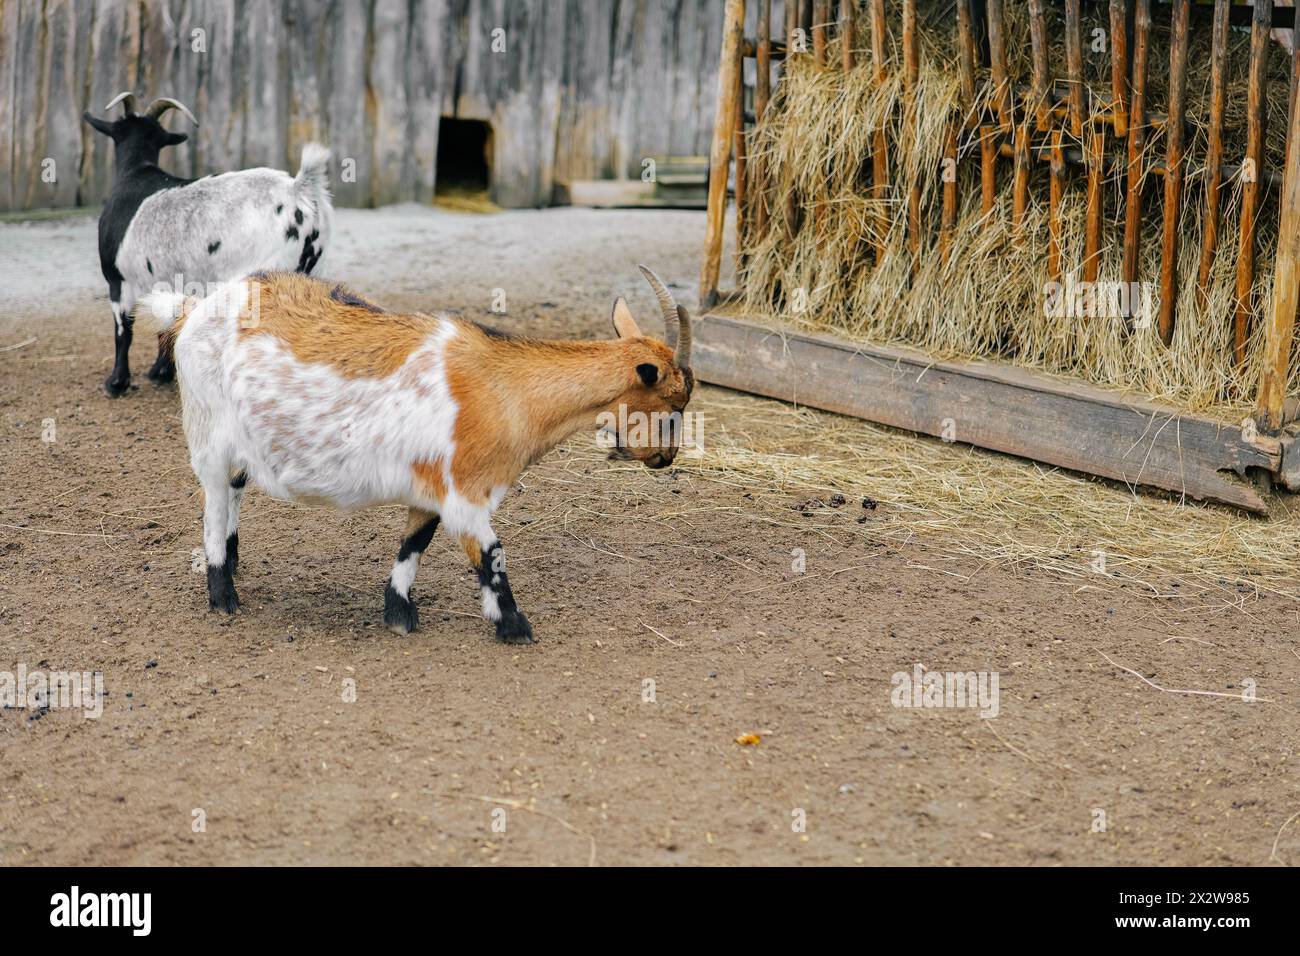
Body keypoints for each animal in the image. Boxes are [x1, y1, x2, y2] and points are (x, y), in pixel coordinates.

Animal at [83, 92, 332, 397]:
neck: (137, 173)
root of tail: (299, 188)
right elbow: (166, 323)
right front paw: (161, 372)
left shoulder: (117, 280)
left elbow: (123, 330)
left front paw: (116, 383)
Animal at [139, 267, 695, 643]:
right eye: (674, 405)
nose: (666, 459)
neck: (505, 389)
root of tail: (192, 309)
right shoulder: (465, 493)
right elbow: (492, 554)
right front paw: (516, 627)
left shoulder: (430, 488)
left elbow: (414, 545)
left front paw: (399, 615)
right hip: (208, 433)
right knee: (214, 504)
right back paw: (223, 595)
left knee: (234, 492)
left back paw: (234, 565)